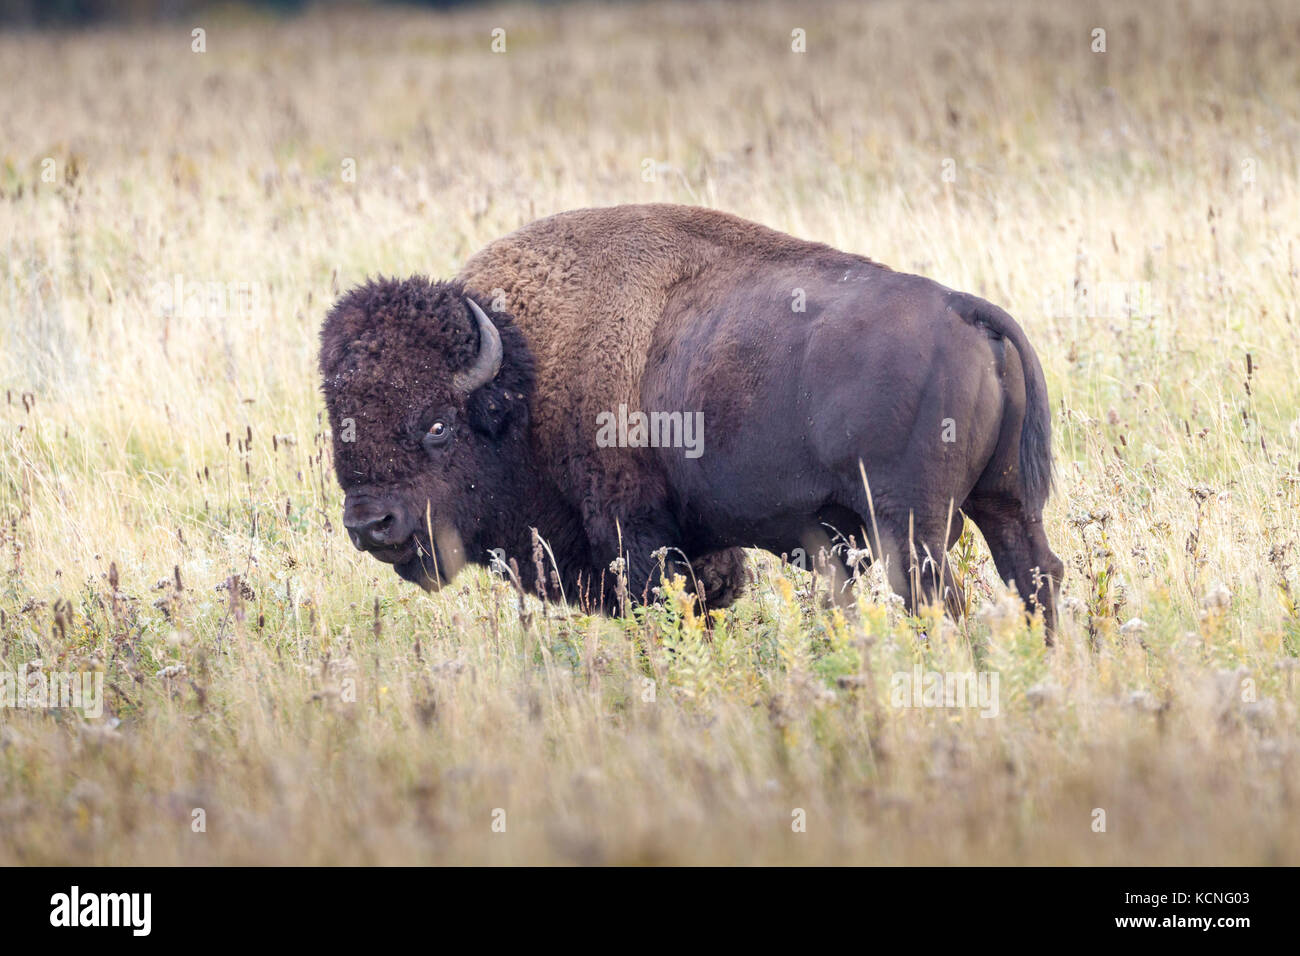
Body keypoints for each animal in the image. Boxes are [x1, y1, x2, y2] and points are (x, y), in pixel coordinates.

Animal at [320, 204, 1064, 635]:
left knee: (940, 599)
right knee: (1037, 574)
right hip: (1005, 503)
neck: (527, 378)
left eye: (437, 424)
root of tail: (964, 309)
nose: (370, 523)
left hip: (910, 525)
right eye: (339, 424)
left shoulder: (638, 538)